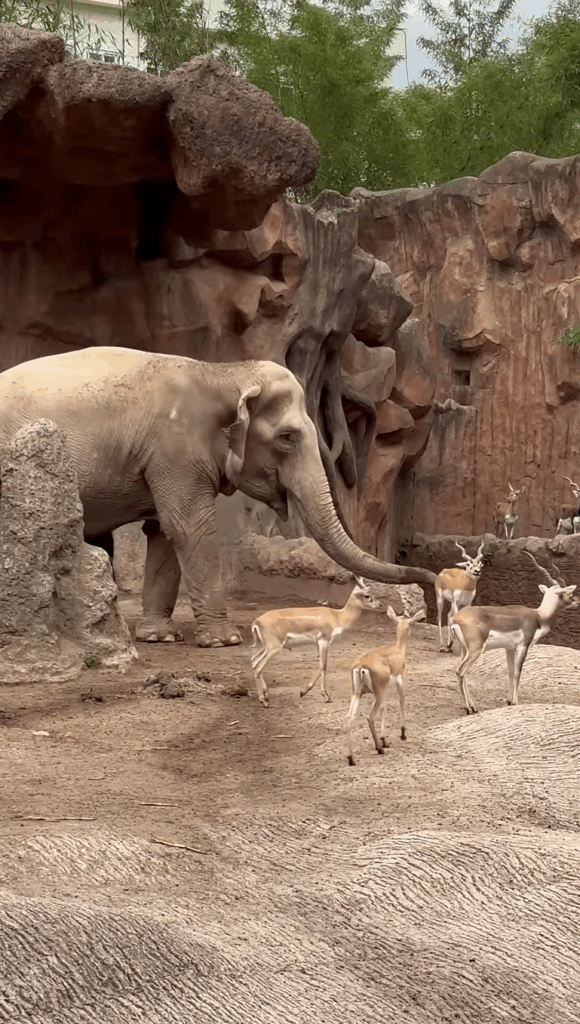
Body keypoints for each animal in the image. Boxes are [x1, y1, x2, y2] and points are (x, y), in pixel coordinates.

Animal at [0, 346, 436, 647]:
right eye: (287, 437)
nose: (431, 588)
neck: (221, 371)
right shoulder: (176, 448)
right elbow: (190, 527)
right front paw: (226, 640)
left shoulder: (166, 459)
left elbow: (164, 532)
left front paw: (159, 636)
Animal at [250, 577, 381, 708]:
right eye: (367, 595)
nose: (380, 604)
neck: (337, 617)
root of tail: (256, 622)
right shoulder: (324, 641)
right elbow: (323, 666)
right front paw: (326, 696)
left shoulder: (319, 643)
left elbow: (321, 666)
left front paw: (303, 692)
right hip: (274, 647)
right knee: (258, 667)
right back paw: (265, 700)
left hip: (266, 647)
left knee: (254, 662)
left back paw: (263, 697)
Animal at [346, 606, 423, 766]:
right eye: (410, 624)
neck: (398, 650)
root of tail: (360, 666)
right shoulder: (399, 679)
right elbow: (401, 700)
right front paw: (402, 734)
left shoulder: (384, 689)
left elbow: (384, 708)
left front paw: (385, 739)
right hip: (377, 692)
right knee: (370, 716)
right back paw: (379, 749)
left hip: (358, 693)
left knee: (350, 717)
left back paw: (351, 758)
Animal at [450, 550, 577, 715]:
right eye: (567, 593)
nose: (576, 601)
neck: (538, 616)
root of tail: (455, 619)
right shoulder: (523, 646)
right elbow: (518, 671)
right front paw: (515, 701)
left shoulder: (509, 648)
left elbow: (510, 672)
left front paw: (509, 700)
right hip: (475, 650)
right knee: (460, 671)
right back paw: (469, 708)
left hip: (464, 650)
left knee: (463, 673)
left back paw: (473, 706)